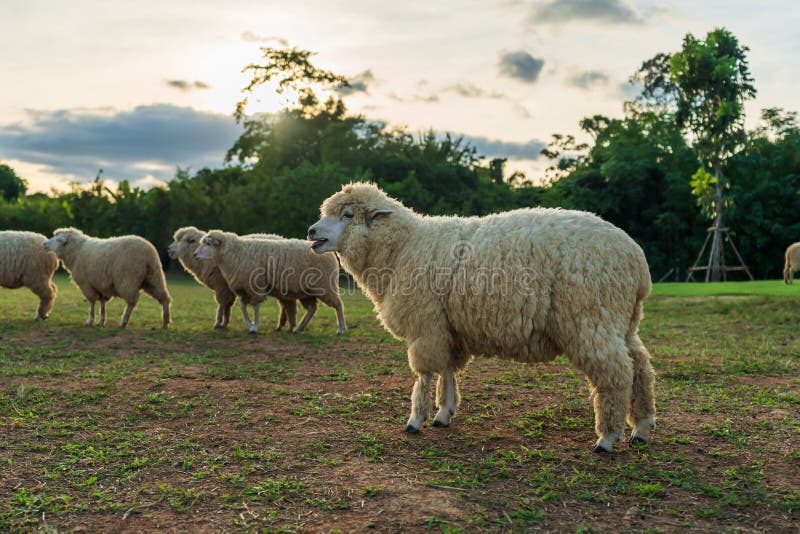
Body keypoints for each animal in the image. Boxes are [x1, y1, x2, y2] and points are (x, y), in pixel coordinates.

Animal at [168, 226, 296, 330]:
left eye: (190, 240)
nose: (169, 250)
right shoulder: (229, 286)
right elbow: (228, 305)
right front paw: (225, 322)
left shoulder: (222, 285)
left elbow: (222, 303)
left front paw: (218, 323)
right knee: (285, 303)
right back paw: (282, 325)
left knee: (286, 303)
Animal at [193, 230, 346, 335]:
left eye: (208, 243)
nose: (194, 255)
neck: (235, 253)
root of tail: (330, 253)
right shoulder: (244, 288)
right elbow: (243, 307)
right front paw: (249, 323)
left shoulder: (255, 285)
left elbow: (255, 306)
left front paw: (254, 326)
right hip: (306, 290)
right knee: (312, 308)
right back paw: (299, 328)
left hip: (325, 285)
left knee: (338, 305)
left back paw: (341, 328)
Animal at [308, 182, 656, 453]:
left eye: (347, 215)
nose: (311, 231)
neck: (403, 248)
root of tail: (636, 259)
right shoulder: (449, 327)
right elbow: (448, 371)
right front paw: (444, 412)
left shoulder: (426, 323)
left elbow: (425, 374)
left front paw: (415, 420)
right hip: (622, 320)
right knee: (640, 366)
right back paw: (641, 428)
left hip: (591, 317)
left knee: (616, 372)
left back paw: (607, 438)